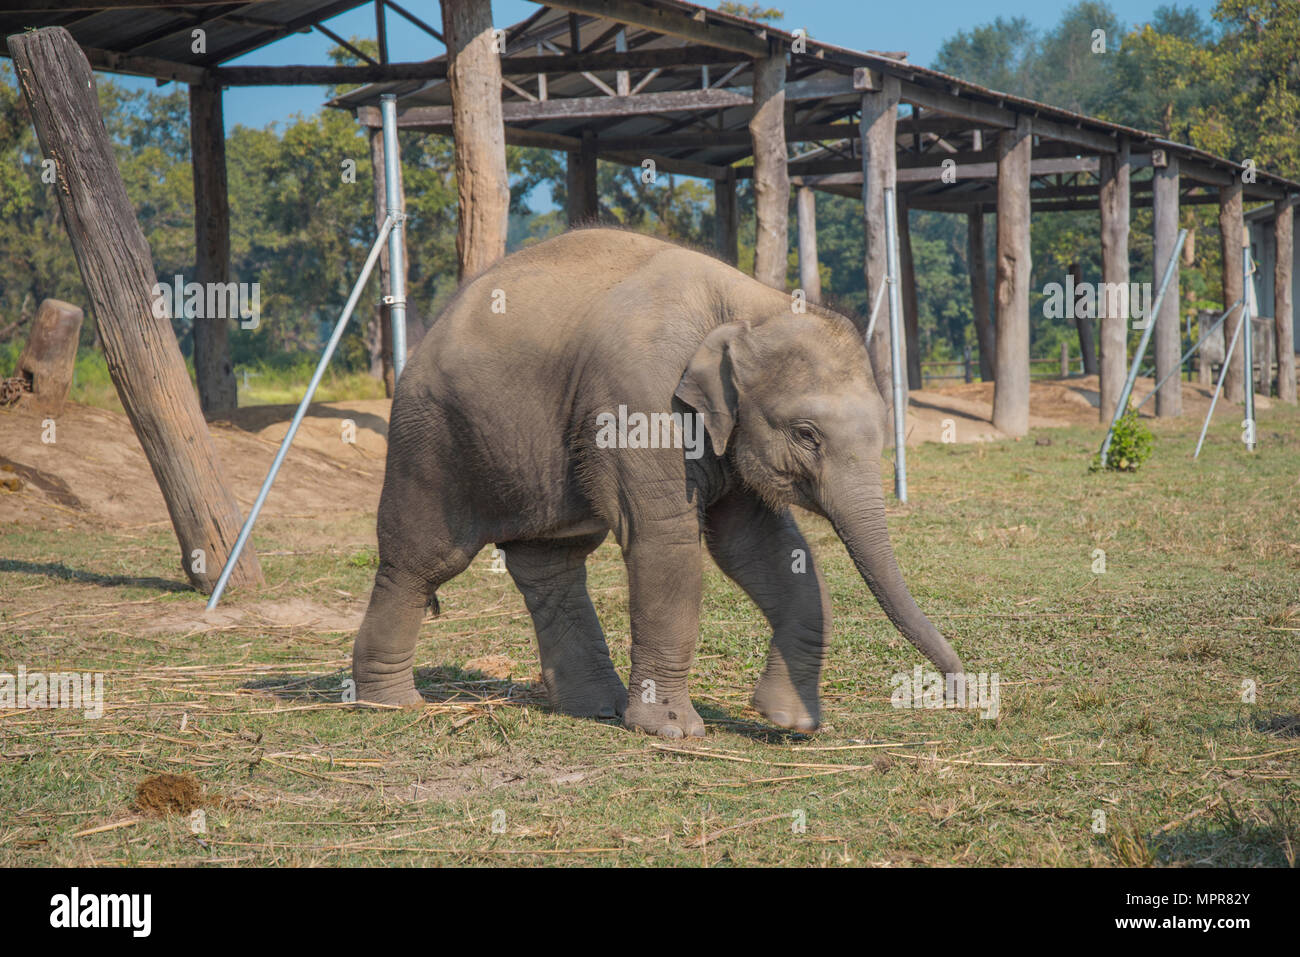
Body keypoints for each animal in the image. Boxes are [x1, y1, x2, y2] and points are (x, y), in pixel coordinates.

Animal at [352, 228, 963, 738]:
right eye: (807, 434)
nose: (959, 692)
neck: (748, 305)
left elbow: (757, 545)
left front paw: (792, 722)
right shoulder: (640, 400)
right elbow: (666, 542)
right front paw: (674, 731)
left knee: (552, 562)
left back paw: (595, 708)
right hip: (431, 438)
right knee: (422, 559)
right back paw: (388, 703)